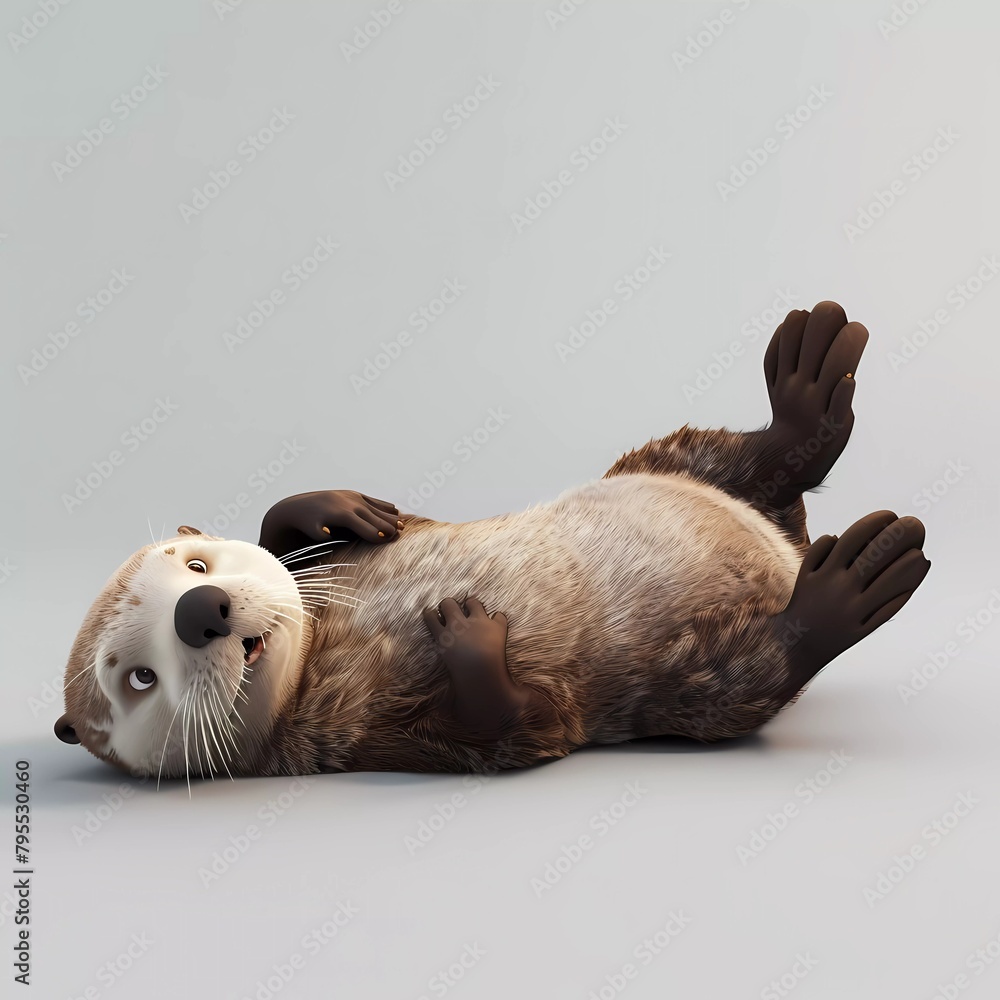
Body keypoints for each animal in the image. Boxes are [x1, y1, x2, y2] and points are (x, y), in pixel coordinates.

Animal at [55, 301, 930, 781]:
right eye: (137, 677)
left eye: (194, 564)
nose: (200, 609)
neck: (321, 646)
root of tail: (786, 553)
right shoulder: (356, 733)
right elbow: (515, 729)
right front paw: (470, 637)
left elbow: (313, 533)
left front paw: (333, 509)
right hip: (691, 682)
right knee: (760, 669)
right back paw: (845, 589)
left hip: (682, 462)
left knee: (748, 460)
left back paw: (808, 391)